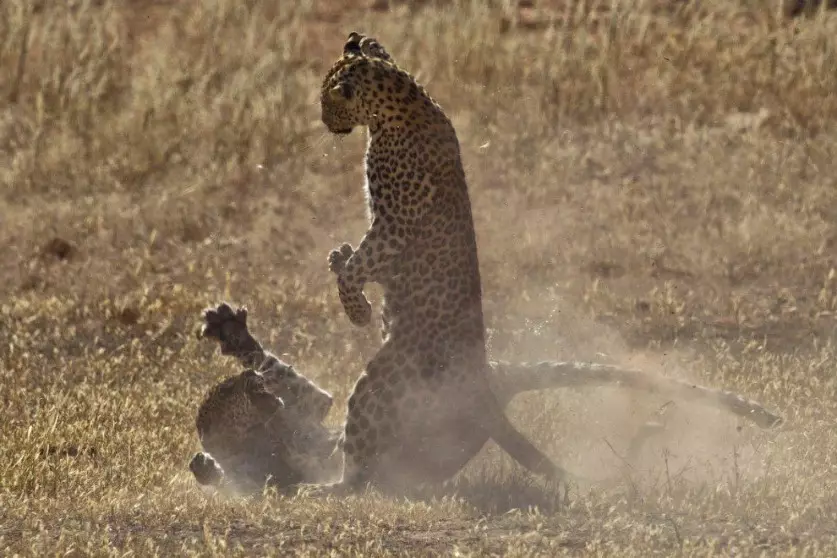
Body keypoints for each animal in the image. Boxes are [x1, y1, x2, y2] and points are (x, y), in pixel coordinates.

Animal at [188, 304, 776, 496]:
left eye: (213, 408)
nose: (198, 443)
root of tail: (490, 382)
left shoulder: (310, 415)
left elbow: (300, 387)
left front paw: (235, 338)